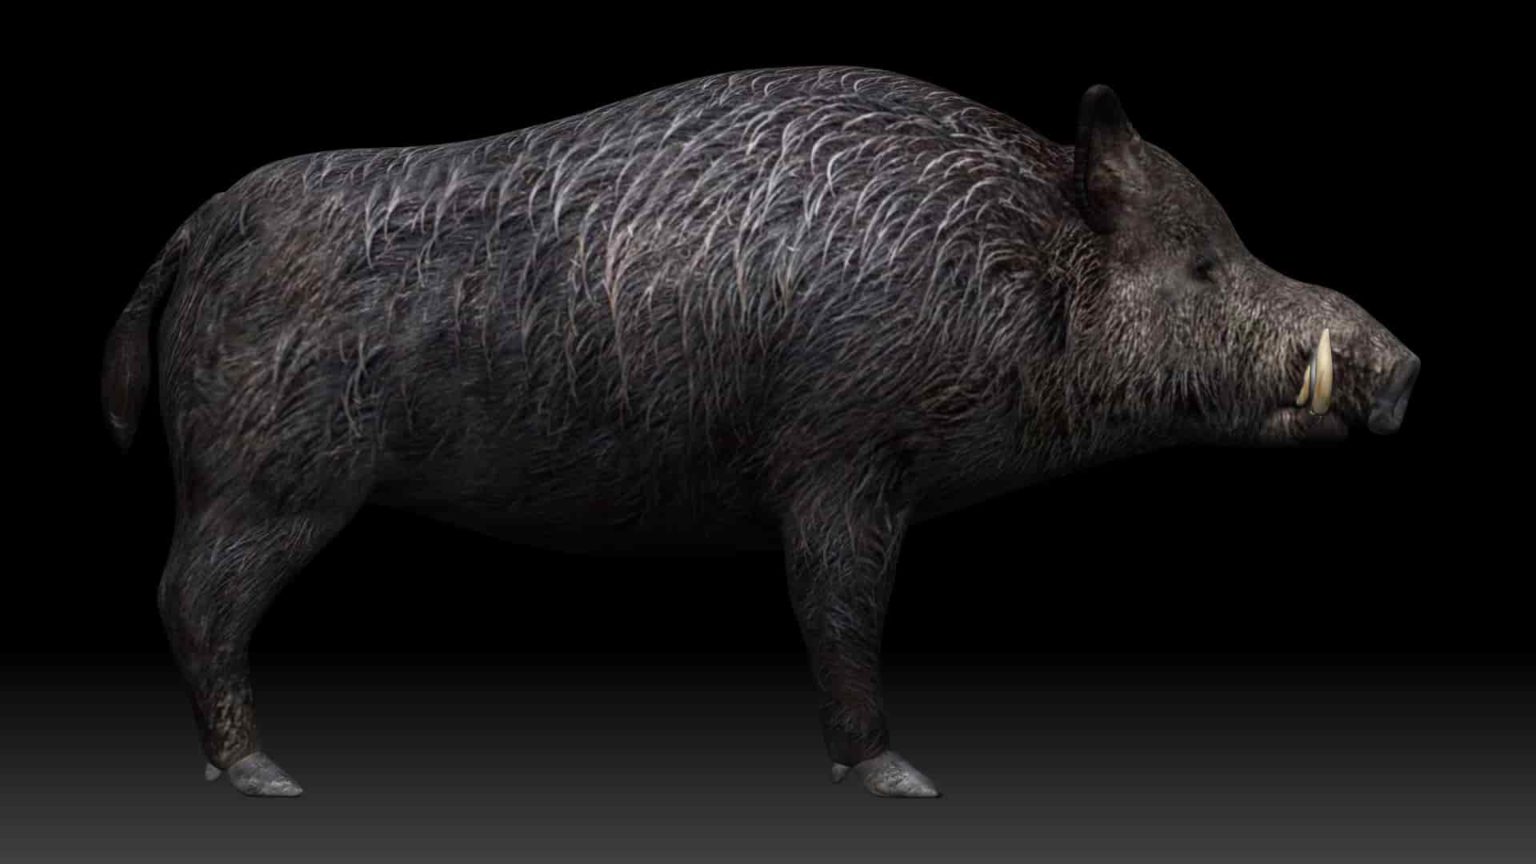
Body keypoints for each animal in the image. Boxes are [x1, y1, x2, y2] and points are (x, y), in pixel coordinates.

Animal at [100, 65, 1419, 799]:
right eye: (1202, 265)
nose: (1407, 367)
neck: (1005, 266)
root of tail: (196, 229)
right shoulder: (843, 454)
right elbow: (840, 610)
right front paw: (900, 780)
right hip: (272, 475)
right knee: (189, 597)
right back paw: (267, 780)